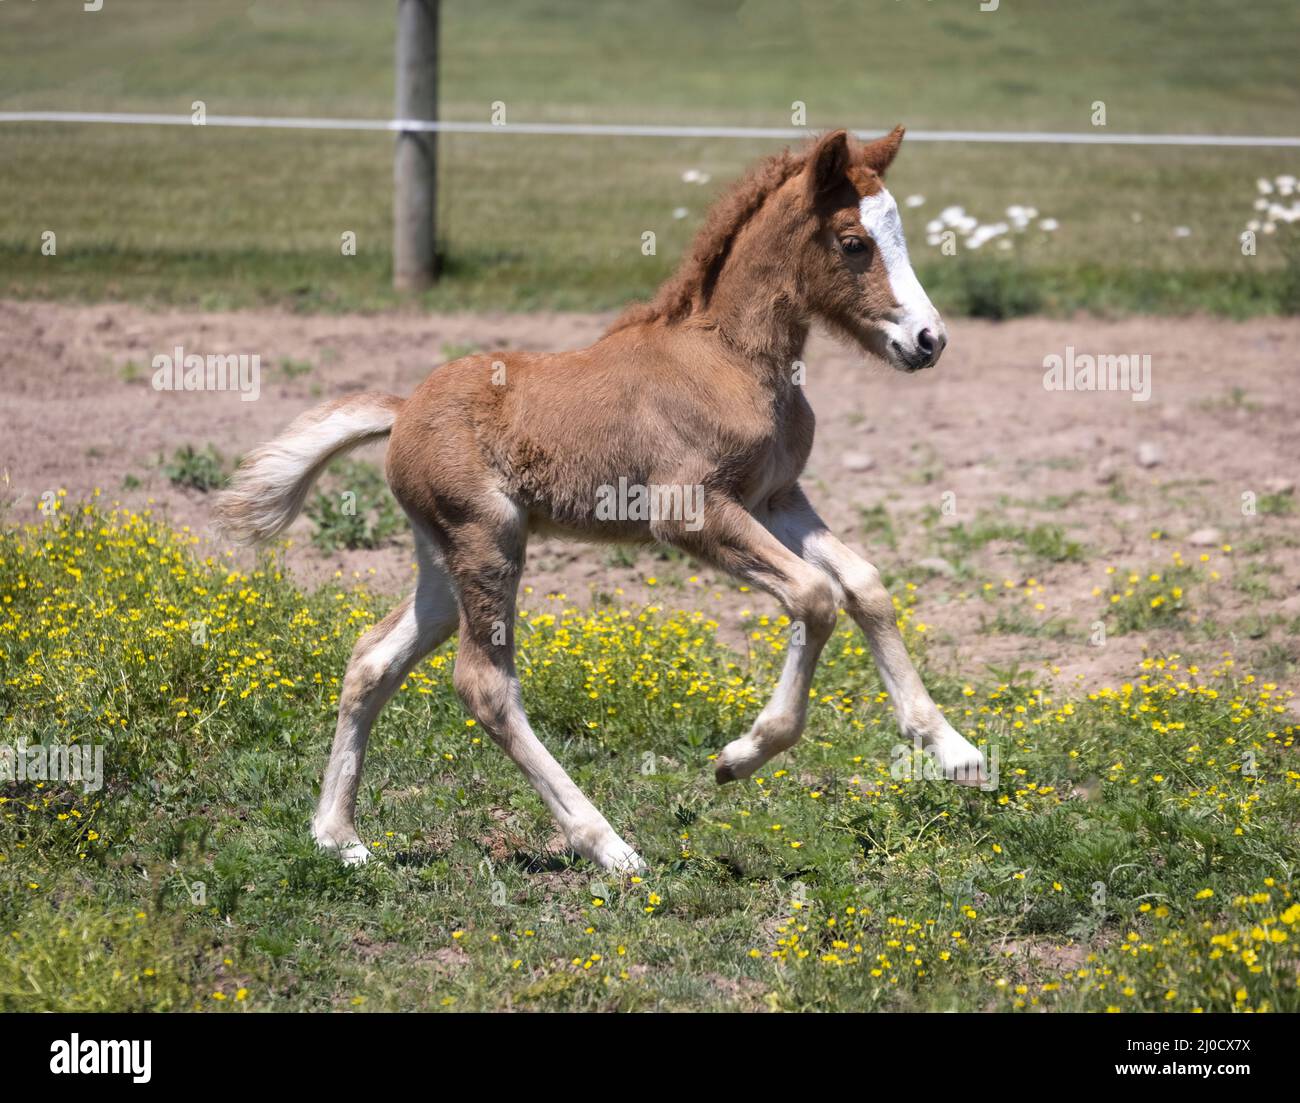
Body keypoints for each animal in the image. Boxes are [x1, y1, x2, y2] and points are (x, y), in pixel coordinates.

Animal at [214, 126, 988, 873]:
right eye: (854, 242)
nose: (929, 340)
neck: (727, 358)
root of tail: (403, 411)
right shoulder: (690, 512)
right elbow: (815, 596)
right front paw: (740, 756)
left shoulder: (775, 498)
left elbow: (864, 583)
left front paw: (955, 752)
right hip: (489, 542)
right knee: (483, 684)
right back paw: (608, 845)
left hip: (444, 558)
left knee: (373, 659)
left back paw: (338, 837)